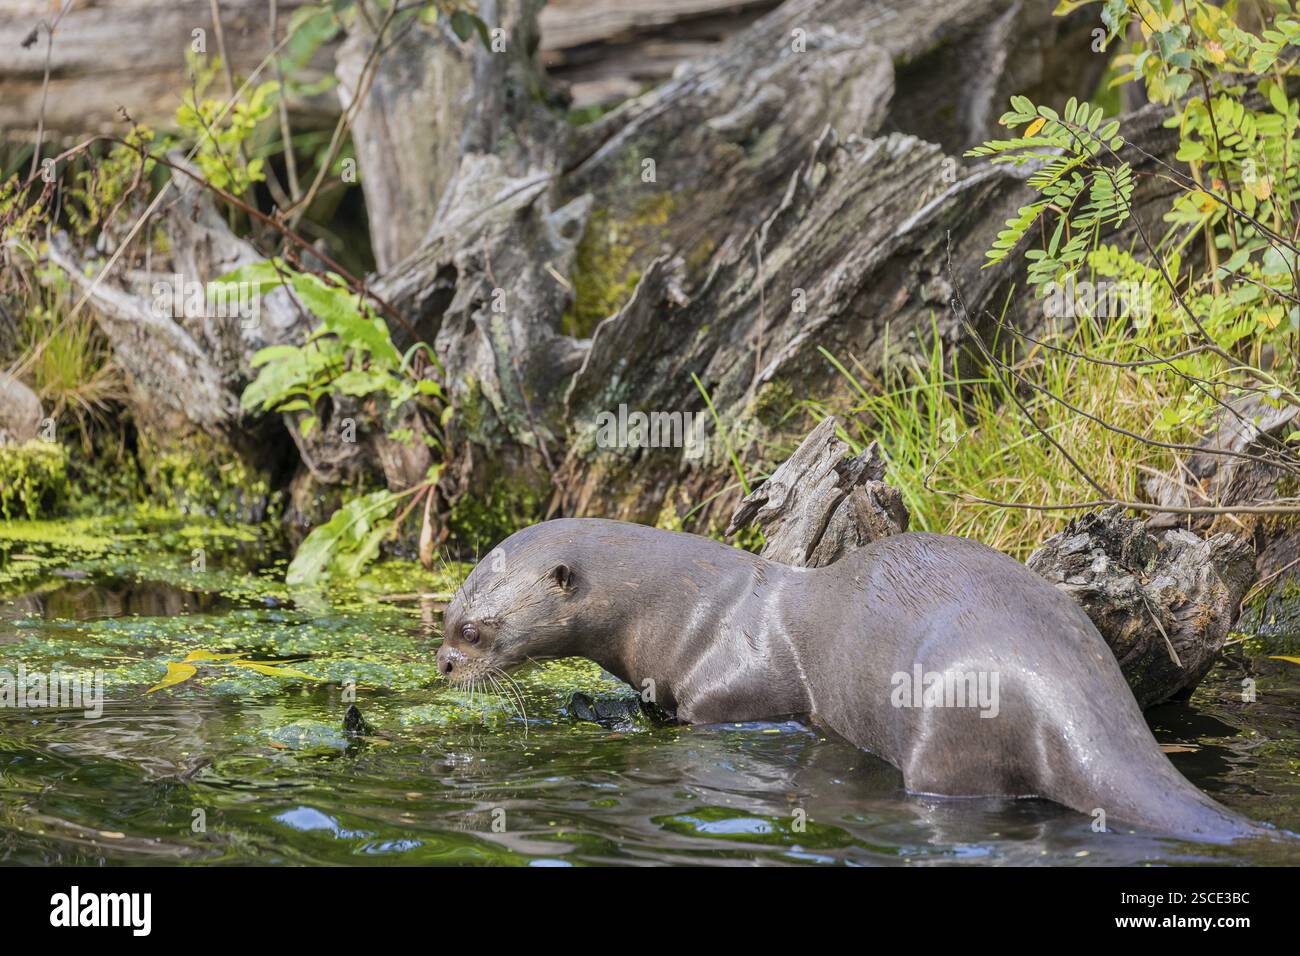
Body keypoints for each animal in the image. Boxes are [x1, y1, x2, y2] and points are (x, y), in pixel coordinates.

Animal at [437, 518, 1268, 842]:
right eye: (445, 616)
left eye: (475, 630)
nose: (444, 663)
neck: (685, 609)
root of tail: (1056, 675)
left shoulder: (730, 686)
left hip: (948, 719)